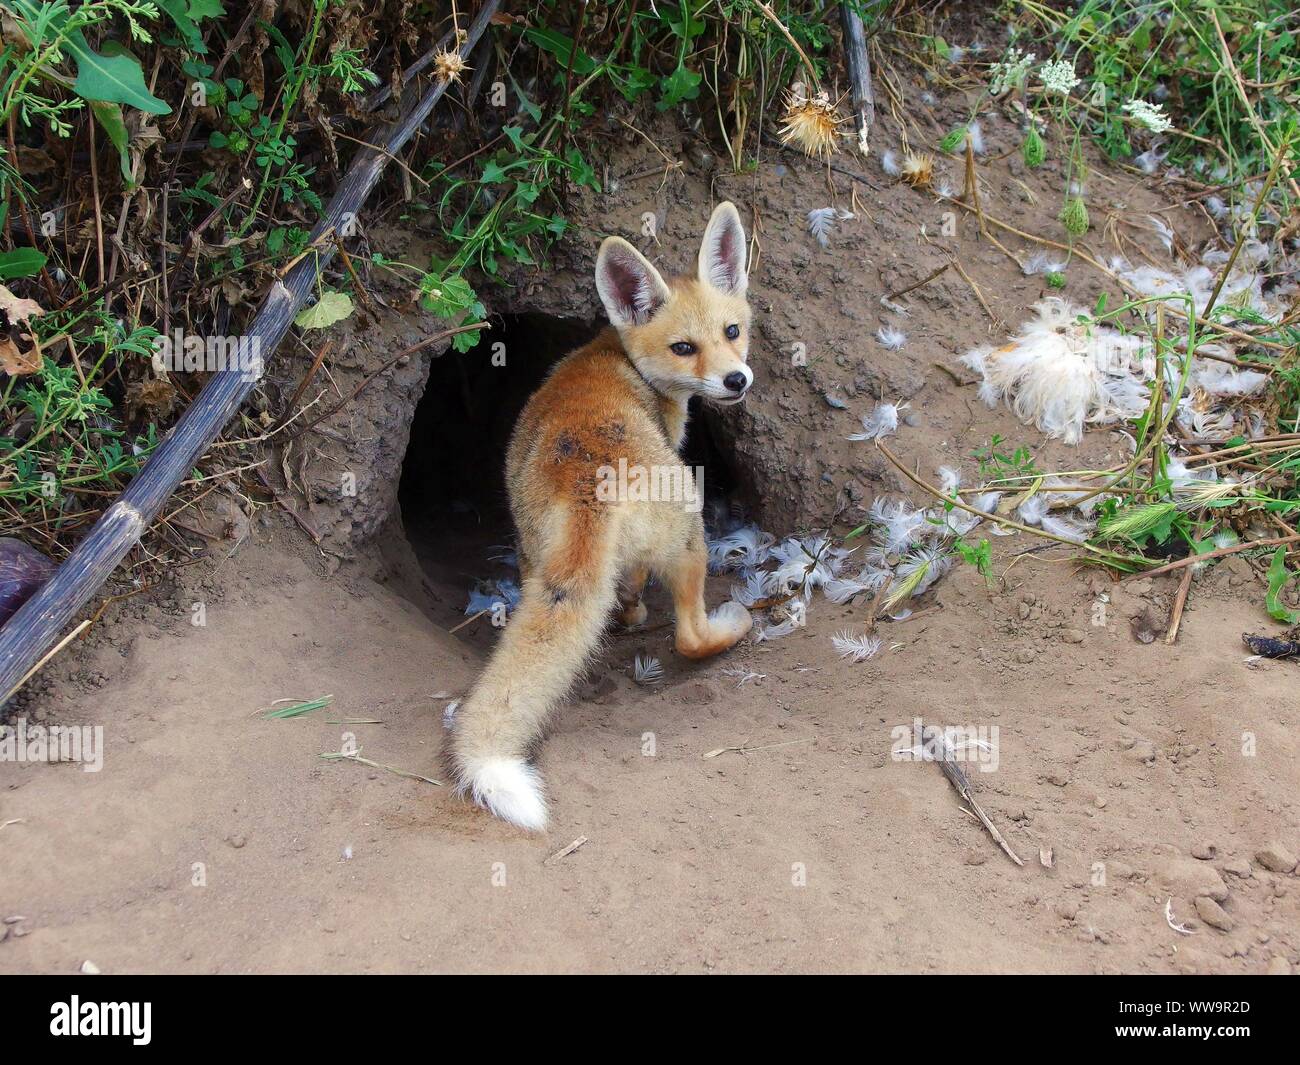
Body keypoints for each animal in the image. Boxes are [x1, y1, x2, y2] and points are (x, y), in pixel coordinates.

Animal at [449, 201, 756, 830]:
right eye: (684, 348)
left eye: (732, 332)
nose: (736, 380)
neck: (616, 356)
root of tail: (591, 481)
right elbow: (641, 585)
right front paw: (640, 614)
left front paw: (628, 614)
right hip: (690, 535)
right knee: (689, 637)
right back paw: (728, 625)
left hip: (531, 550)